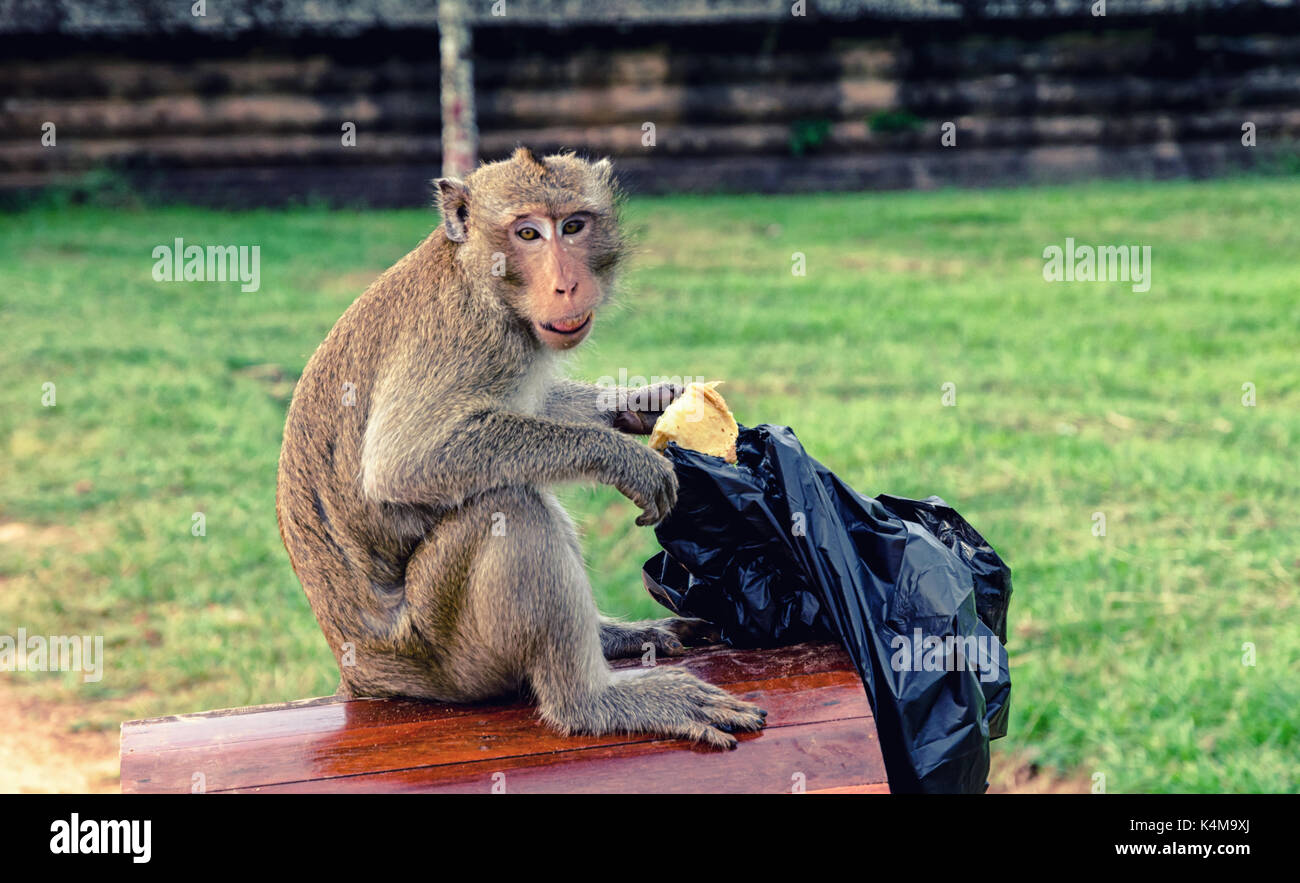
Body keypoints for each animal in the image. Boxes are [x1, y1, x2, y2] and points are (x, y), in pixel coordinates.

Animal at [276, 147, 766, 750]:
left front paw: (643, 403)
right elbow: (405, 462)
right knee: (510, 506)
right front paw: (624, 458)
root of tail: (364, 677)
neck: (479, 277)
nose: (567, 286)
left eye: (573, 226)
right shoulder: (470, 339)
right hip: (443, 653)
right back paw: (591, 701)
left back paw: (611, 638)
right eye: (528, 233)